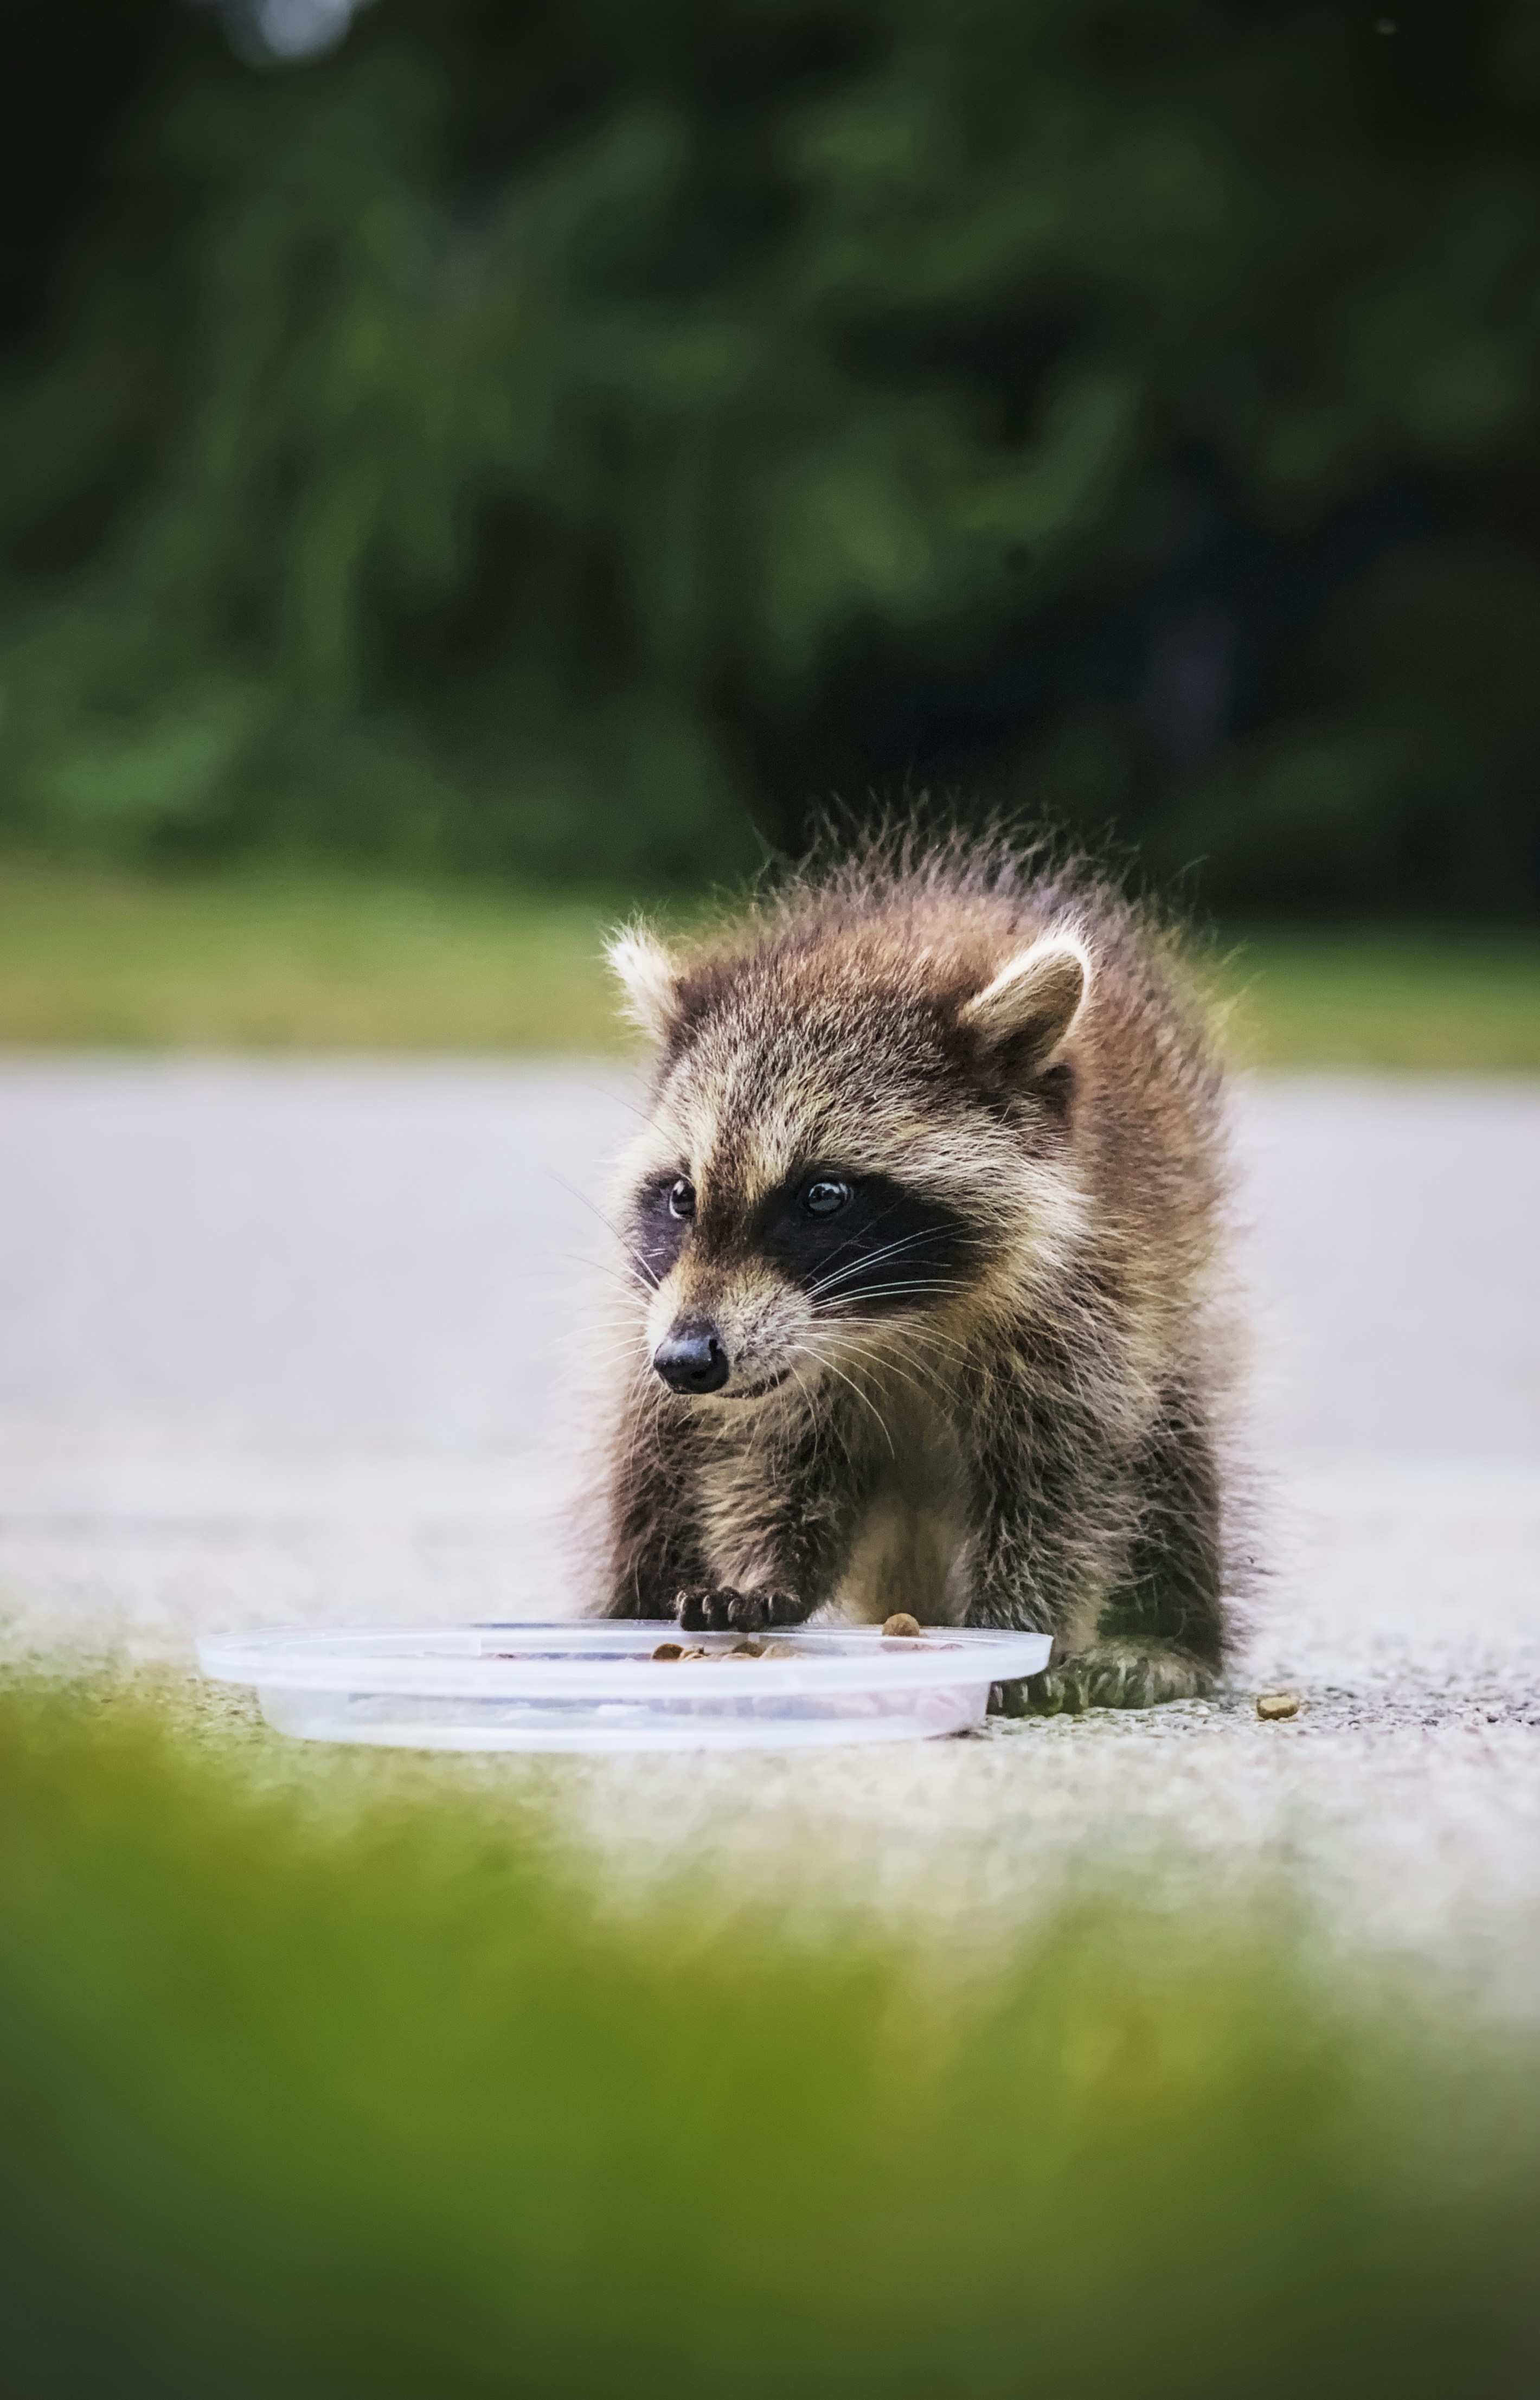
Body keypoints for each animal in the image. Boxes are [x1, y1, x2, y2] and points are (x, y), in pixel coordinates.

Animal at [593, 837, 1245, 1711]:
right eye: (681, 1195)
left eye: (822, 1195)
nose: (688, 1359)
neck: (889, 1324)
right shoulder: (750, 1354)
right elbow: (770, 1454)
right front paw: (767, 1569)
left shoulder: (1096, 1286)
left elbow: (1068, 1478)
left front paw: (1018, 1624)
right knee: (654, 1448)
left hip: (1167, 1316)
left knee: (1169, 1446)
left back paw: (1171, 1635)